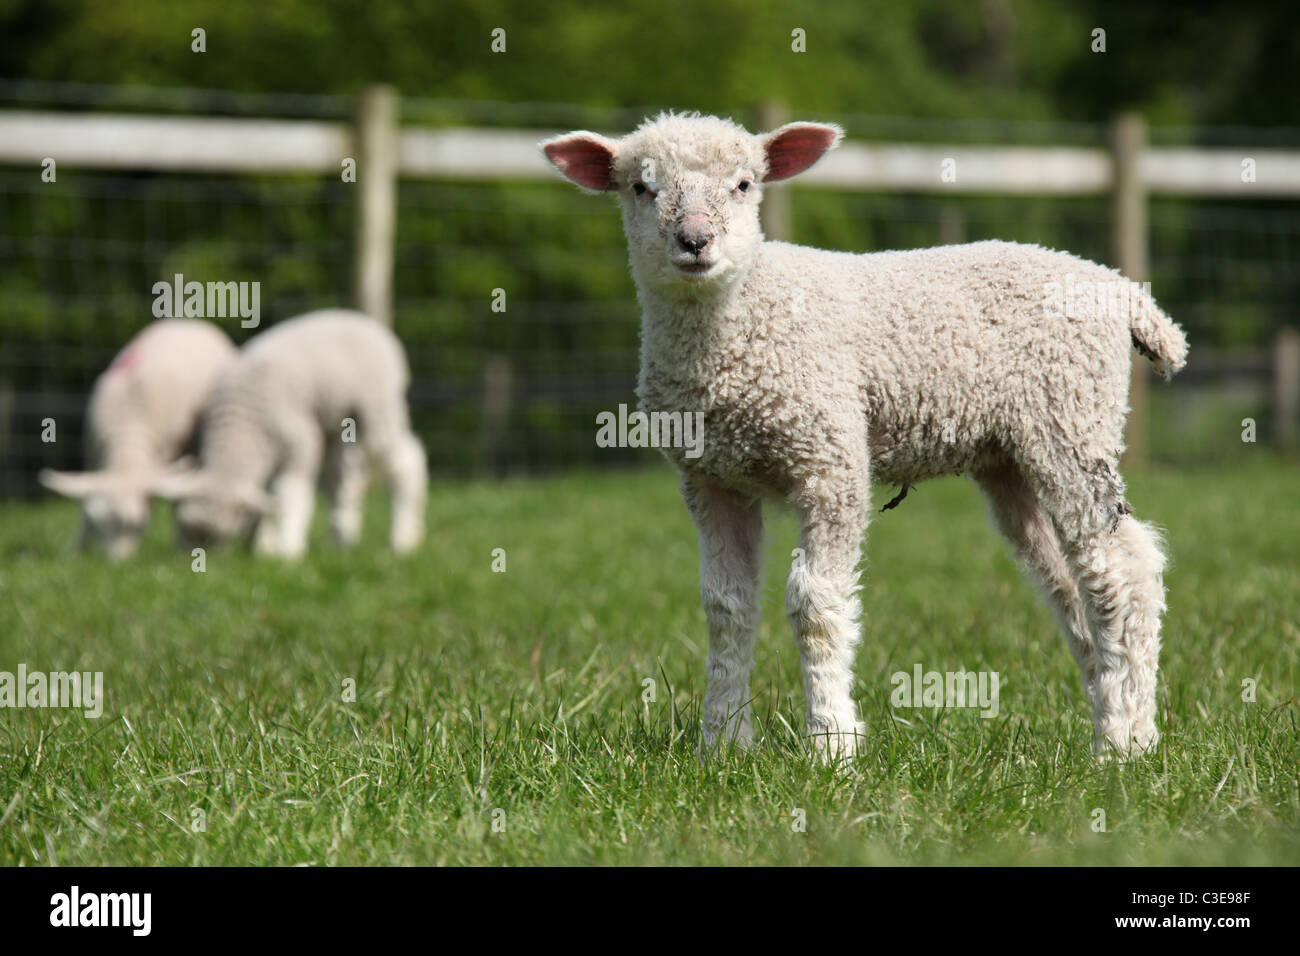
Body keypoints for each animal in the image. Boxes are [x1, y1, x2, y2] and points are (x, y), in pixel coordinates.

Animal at [39, 318, 236, 559]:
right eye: (97, 525)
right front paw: (73, 552)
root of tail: (189, 323)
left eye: (137, 524)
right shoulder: (93, 453)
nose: (112, 562)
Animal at [152, 309, 427, 559]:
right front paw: (262, 547)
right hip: (338, 426)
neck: (241, 430)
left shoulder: (299, 442)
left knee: (405, 462)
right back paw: (341, 539)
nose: (193, 560)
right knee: (342, 478)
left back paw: (403, 540)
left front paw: (287, 550)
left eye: (219, 537)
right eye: (184, 530)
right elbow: (263, 498)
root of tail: (364, 320)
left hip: (376, 410)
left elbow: (289, 494)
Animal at [543, 112, 1188, 761]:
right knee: (1066, 580)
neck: (736, 331)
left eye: (745, 184)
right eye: (640, 188)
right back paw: (1119, 713)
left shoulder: (831, 460)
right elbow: (726, 608)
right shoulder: (711, 479)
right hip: (1013, 455)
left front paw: (832, 741)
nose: (695, 241)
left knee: (1122, 567)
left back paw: (1121, 741)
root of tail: (1123, 292)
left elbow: (815, 605)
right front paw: (723, 743)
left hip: (1071, 417)